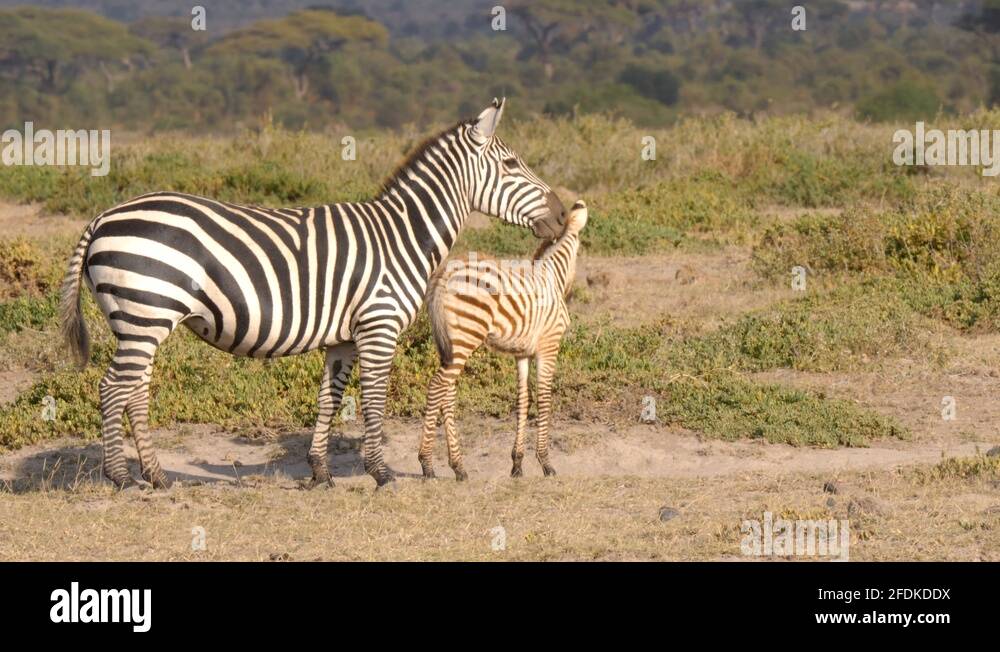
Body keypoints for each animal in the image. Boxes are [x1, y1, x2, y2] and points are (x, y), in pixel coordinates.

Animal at [59, 98, 566, 489]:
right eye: (512, 165)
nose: (562, 214)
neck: (402, 235)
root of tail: (102, 216)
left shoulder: (342, 338)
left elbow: (329, 399)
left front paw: (320, 472)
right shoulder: (378, 327)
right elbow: (375, 399)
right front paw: (381, 473)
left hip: (141, 322)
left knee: (134, 391)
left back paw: (157, 476)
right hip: (145, 314)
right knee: (112, 388)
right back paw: (122, 478)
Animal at [419, 199, 588, 480]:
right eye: (580, 252)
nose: (571, 293)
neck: (553, 275)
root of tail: (444, 274)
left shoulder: (522, 352)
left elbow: (522, 400)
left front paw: (517, 464)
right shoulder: (549, 345)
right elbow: (544, 399)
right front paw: (546, 463)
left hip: (447, 343)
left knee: (447, 391)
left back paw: (458, 467)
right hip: (465, 337)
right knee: (436, 386)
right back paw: (427, 464)